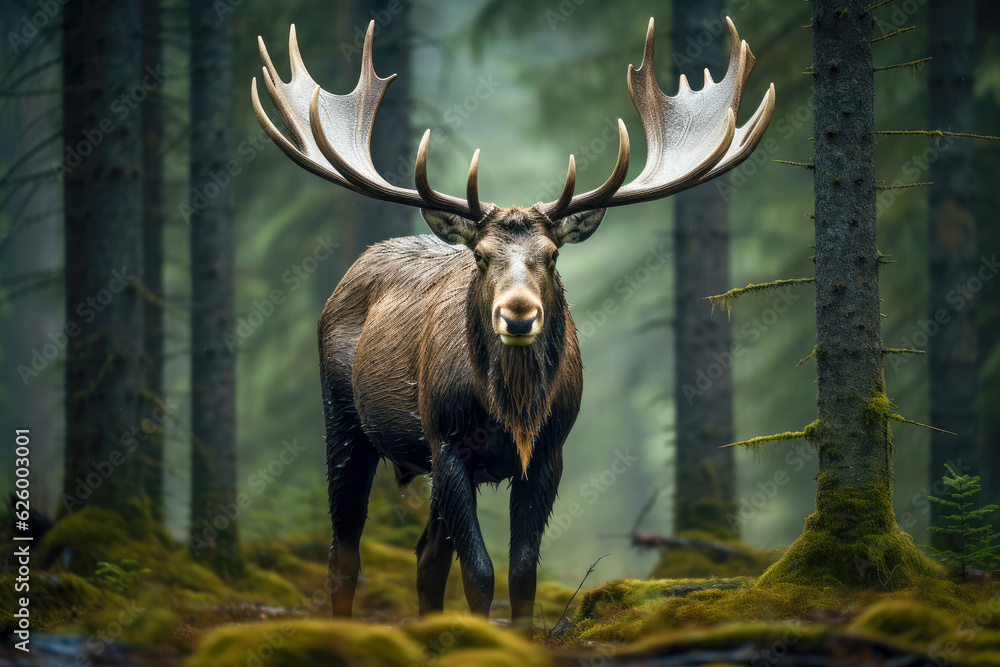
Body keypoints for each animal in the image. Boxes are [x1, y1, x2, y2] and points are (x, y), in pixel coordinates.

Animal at [251, 16, 774, 625]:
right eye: (481, 255)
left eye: (551, 254)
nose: (518, 313)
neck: (512, 415)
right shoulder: (448, 443)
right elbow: (480, 573)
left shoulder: (549, 452)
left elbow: (522, 571)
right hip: (345, 417)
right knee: (345, 553)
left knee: (425, 554)